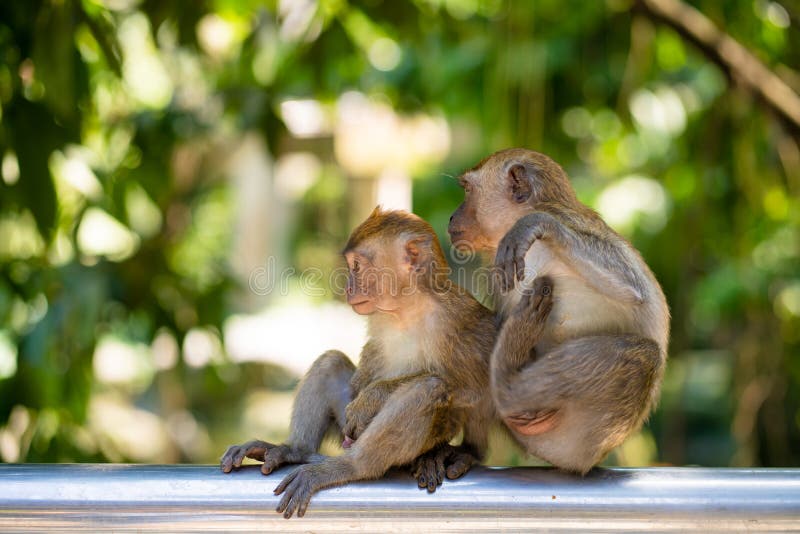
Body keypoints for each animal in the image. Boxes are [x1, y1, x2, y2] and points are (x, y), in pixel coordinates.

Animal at [220, 207, 496, 518]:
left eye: (357, 267)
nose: (348, 288)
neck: (407, 309)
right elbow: (362, 370)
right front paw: (364, 389)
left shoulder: (457, 318)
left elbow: (476, 390)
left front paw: (373, 398)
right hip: (345, 431)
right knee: (331, 362)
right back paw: (295, 450)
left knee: (428, 388)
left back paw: (352, 466)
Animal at [440, 147, 670, 475]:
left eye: (468, 190)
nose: (452, 216)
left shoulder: (562, 219)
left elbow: (633, 286)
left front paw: (536, 225)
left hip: (590, 430)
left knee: (645, 357)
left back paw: (508, 382)